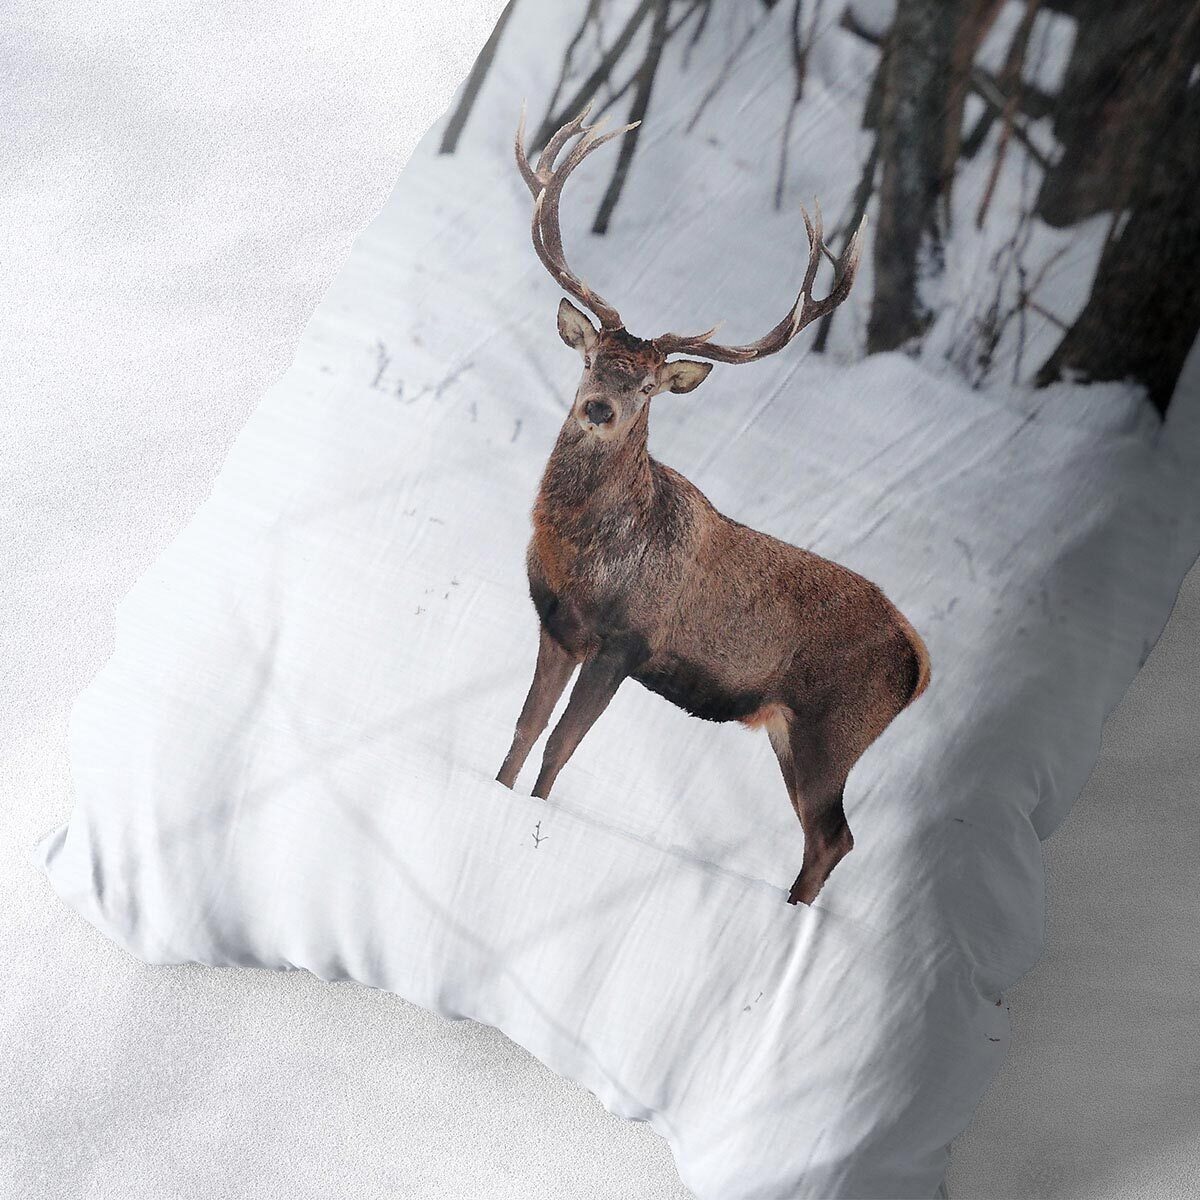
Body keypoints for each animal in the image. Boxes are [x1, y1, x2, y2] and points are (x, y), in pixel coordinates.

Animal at [495, 107, 930, 906]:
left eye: (647, 386)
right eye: (590, 360)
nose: (599, 409)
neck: (590, 559)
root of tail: (918, 666)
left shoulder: (627, 643)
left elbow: (563, 746)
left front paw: (531, 823)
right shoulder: (557, 624)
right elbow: (526, 727)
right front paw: (495, 790)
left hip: (832, 729)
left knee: (836, 835)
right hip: (796, 732)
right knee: (828, 837)